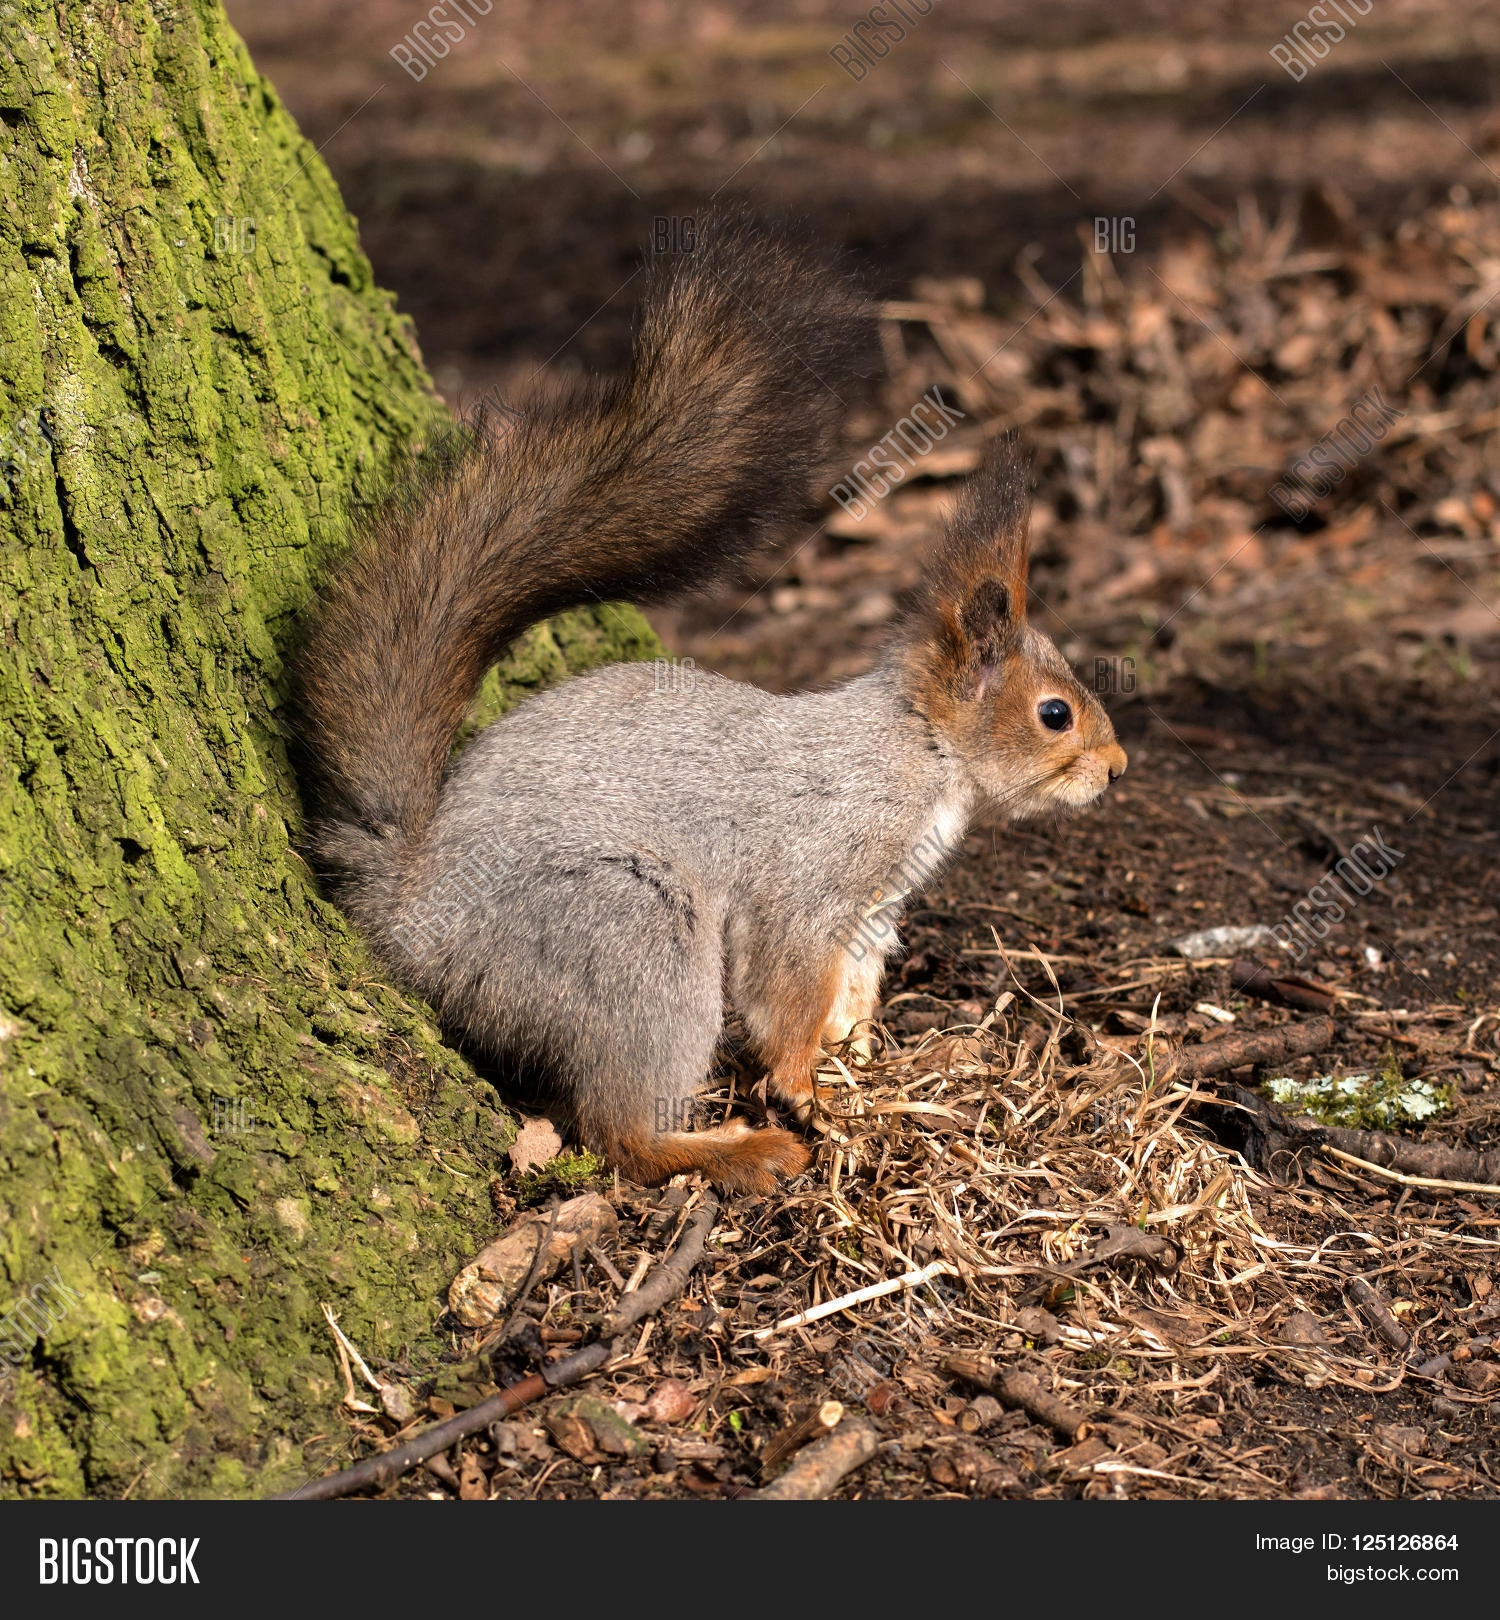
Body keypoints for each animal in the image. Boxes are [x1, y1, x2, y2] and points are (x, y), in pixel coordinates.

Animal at [296, 212, 1127, 1194]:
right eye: (1054, 714)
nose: (1117, 769)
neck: (920, 746)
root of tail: (411, 913)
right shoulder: (814, 867)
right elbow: (787, 980)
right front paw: (805, 1086)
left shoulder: (874, 907)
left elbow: (851, 987)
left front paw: (858, 1055)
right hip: (632, 931)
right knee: (617, 1131)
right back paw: (735, 1149)